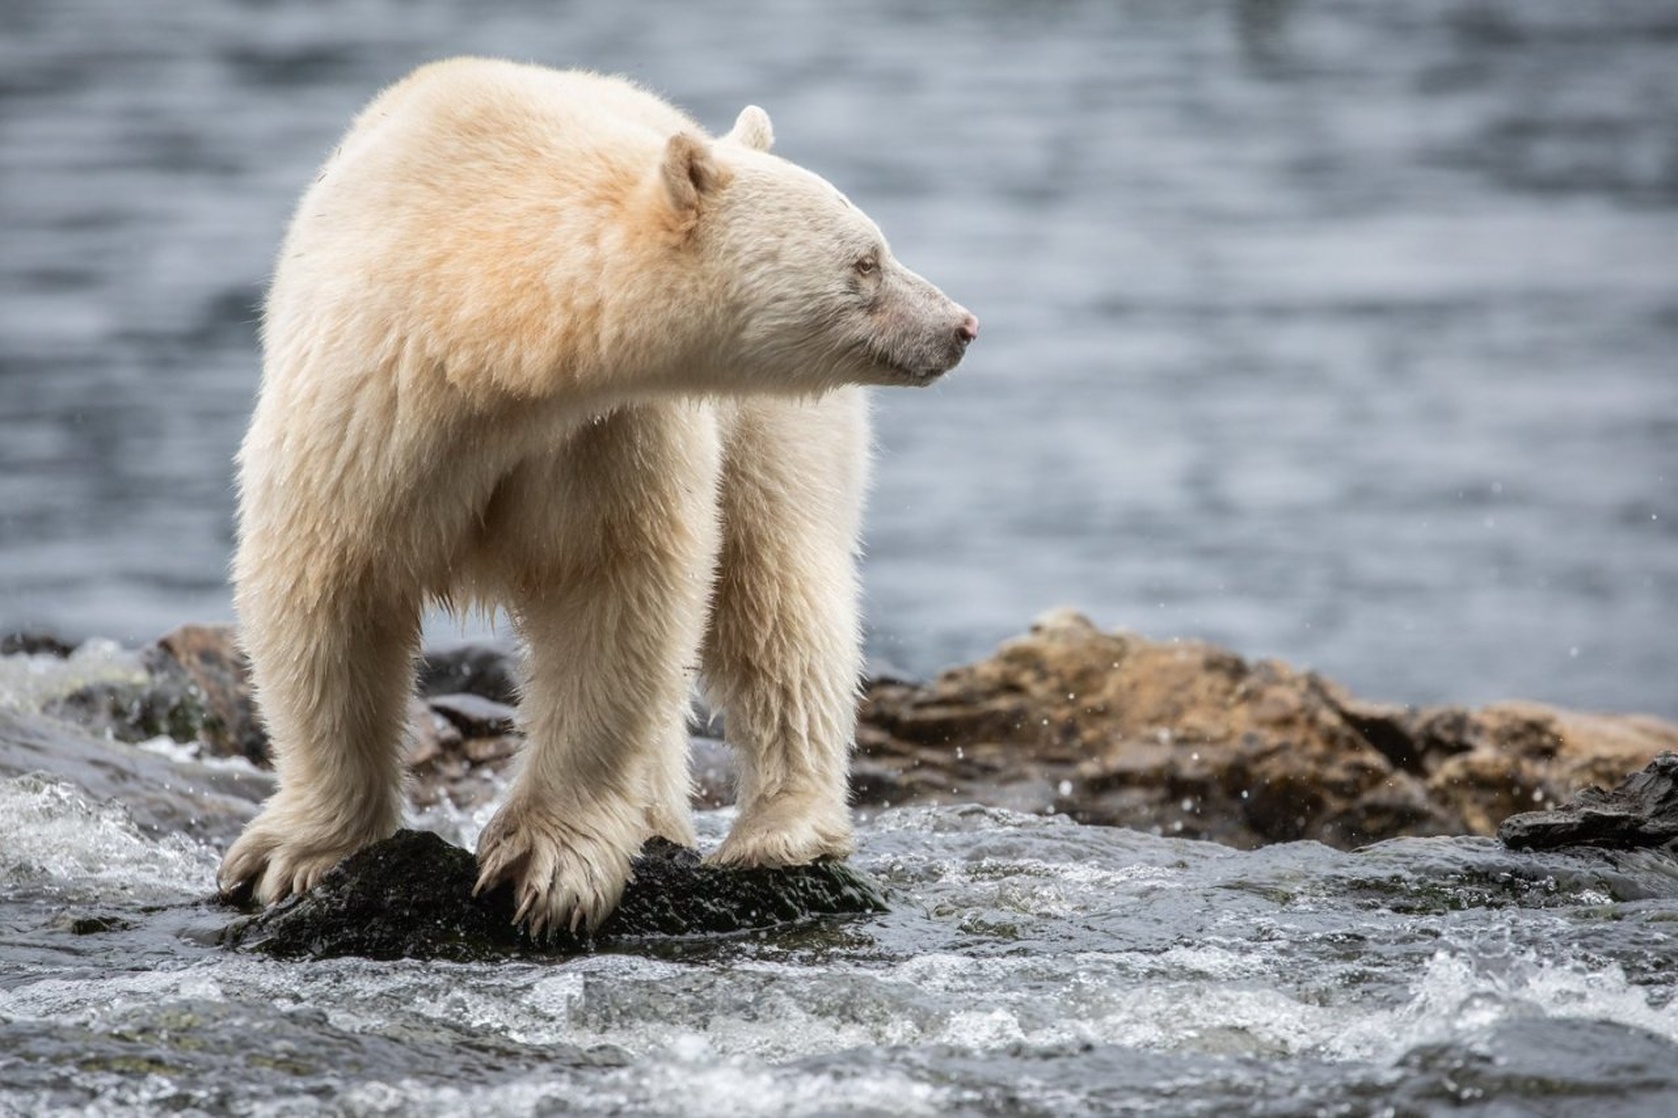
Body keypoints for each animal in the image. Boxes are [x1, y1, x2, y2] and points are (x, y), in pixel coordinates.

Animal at [216, 57, 977, 937]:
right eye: (866, 262)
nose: (960, 325)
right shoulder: (369, 401)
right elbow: (328, 590)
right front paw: (293, 857)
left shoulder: (605, 432)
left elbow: (610, 594)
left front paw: (545, 865)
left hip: (770, 427)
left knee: (777, 594)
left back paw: (777, 833)